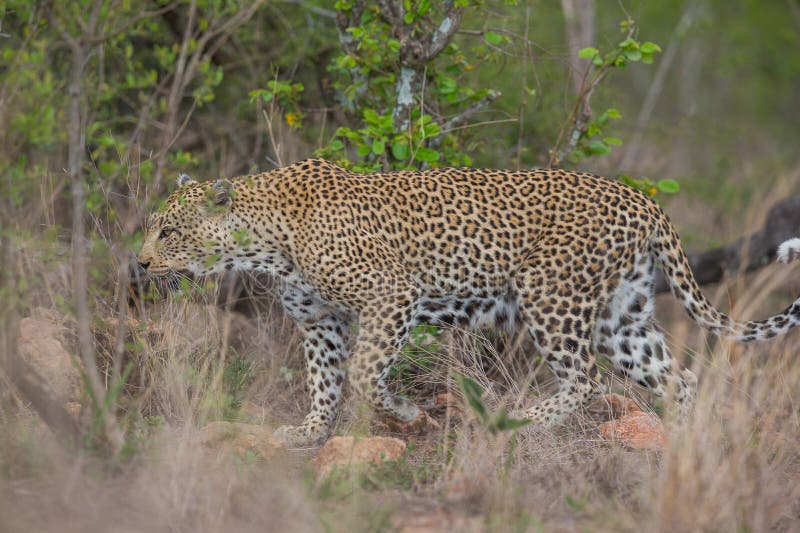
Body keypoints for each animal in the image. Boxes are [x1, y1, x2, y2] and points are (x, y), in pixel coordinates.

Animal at [137, 158, 800, 446]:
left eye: (167, 232)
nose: (139, 264)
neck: (264, 241)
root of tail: (642, 198)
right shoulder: (321, 321)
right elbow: (324, 381)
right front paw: (307, 433)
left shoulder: (391, 295)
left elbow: (366, 373)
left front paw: (406, 415)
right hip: (621, 318)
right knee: (679, 379)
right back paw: (683, 447)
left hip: (549, 294)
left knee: (585, 378)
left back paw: (516, 421)